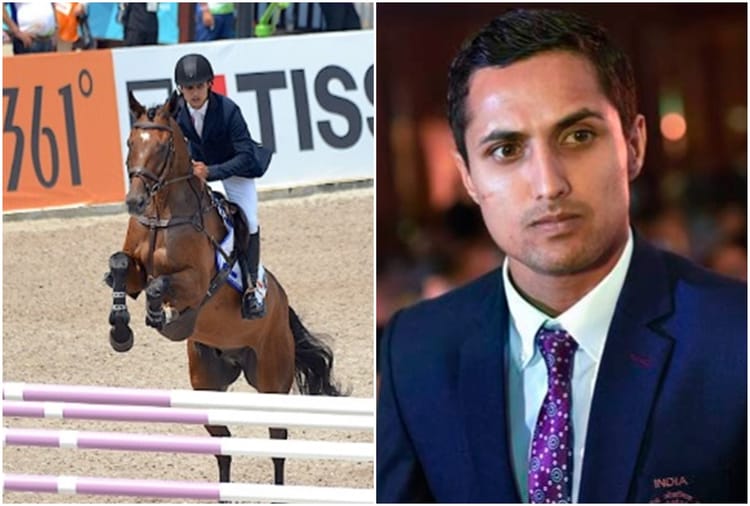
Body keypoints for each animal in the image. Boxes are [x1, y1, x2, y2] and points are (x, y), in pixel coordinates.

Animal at [106, 90, 342, 486]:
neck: (164, 213)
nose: (134, 202)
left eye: (164, 146)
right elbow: (121, 266)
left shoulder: (195, 284)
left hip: (271, 376)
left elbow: (158, 286)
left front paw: (157, 317)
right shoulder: (135, 269)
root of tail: (283, 307)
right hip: (207, 381)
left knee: (277, 441)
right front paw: (120, 330)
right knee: (224, 443)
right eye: (130, 142)